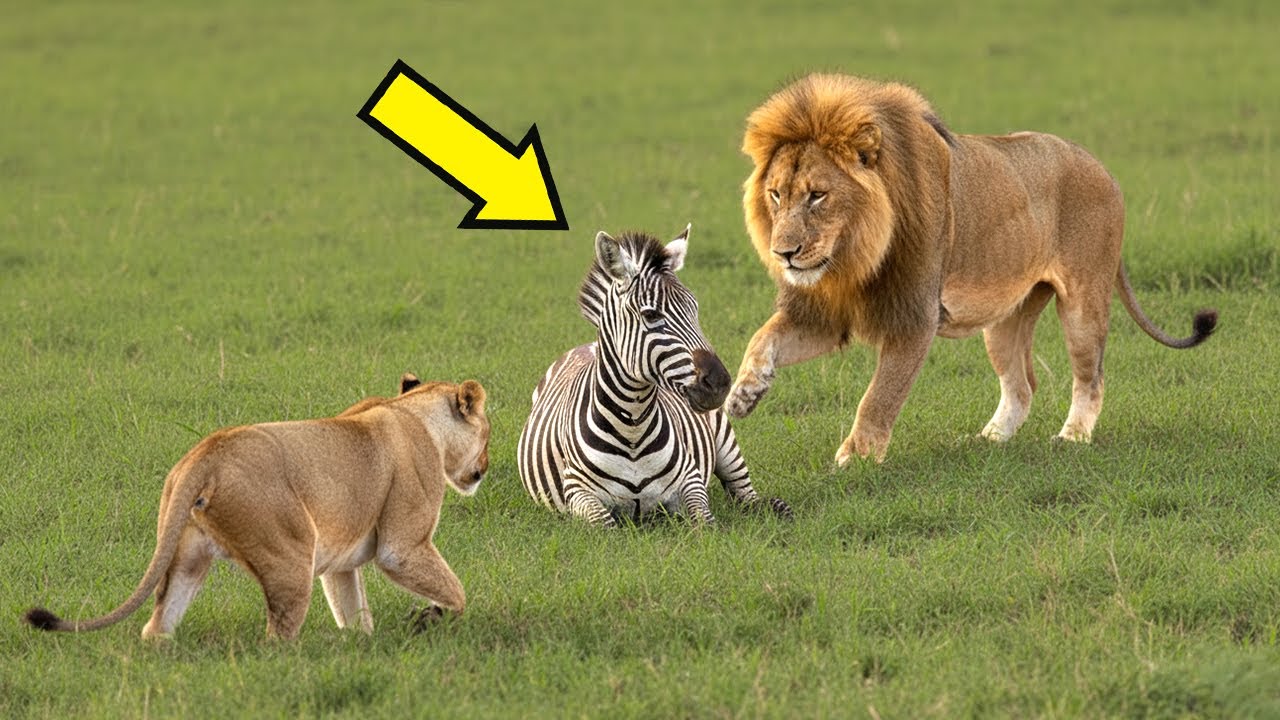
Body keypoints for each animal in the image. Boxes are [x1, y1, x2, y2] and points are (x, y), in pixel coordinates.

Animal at [23, 373, 489, 640]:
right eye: (487, 435)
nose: (483, 469)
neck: (414, 412)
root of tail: (206, 453)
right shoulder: (402, 546)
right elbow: (456, 591)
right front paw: (434, 618)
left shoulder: (339, 559)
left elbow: (352, 608)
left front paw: (362, 645)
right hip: (290, 553)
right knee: (275, 637)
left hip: (186, 555)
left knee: (156, 626)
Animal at [518, 226, 791, 526]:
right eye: (650, 315)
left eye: (695, 309)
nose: (719, 383)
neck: (633, 430)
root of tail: (585, 346)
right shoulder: (577, 490)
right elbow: (604, 523)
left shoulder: (691, 477)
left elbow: (705, 521)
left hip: (725, 441)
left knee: (745, 495)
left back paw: (777, 508)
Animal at [724, 73, 1217, 464]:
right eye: (776, 194)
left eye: (817, 195)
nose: (784, 253)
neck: (852, 258)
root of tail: (1103, 168)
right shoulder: (825, 314)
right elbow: (762, 337)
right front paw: (743, 393)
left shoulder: (914, 318)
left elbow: (879, 397)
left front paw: (854, 461)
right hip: (1005, 319)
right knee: (1022, 386)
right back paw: (987, 440)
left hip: (1083, 301)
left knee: (1090, 377)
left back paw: (1072, 437)